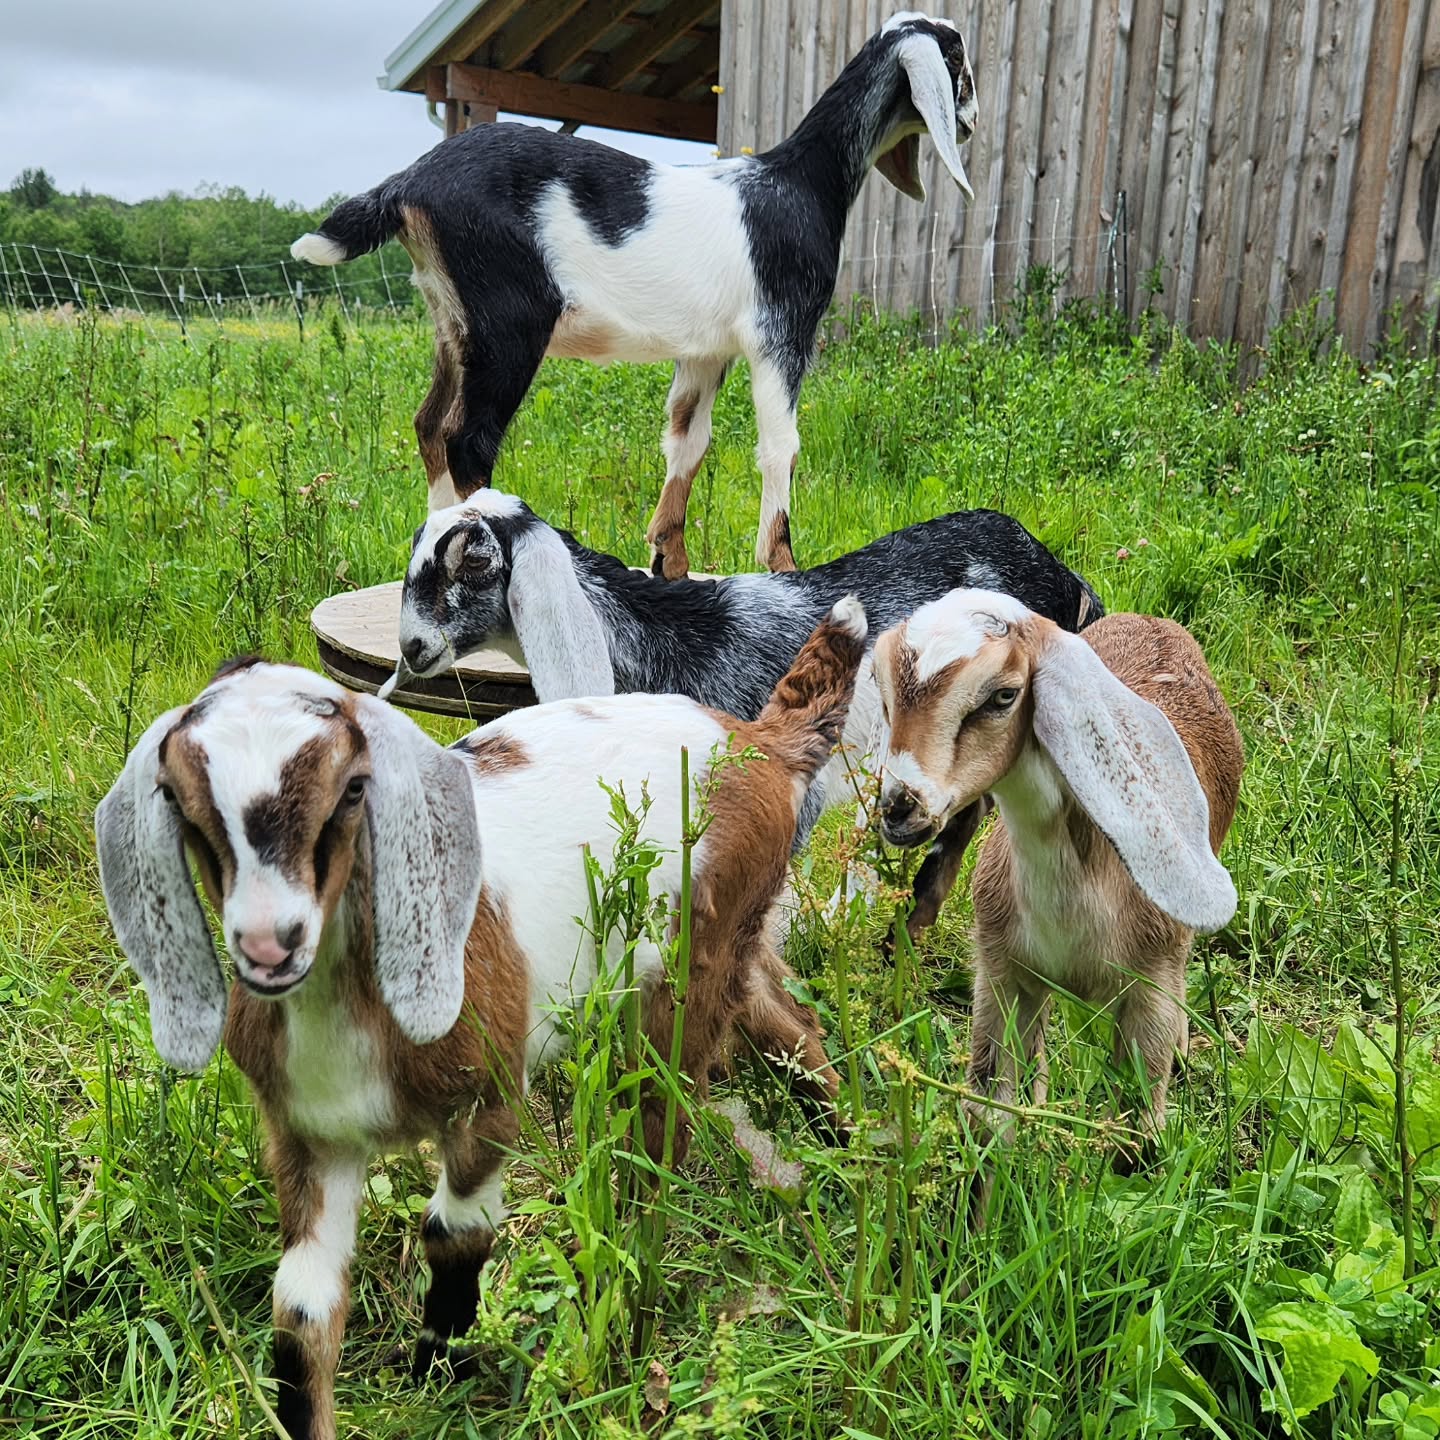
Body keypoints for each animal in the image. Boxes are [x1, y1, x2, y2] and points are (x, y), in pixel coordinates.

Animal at [95, 605, 865, 1440]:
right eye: (178, 801)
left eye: (352, 790)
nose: (272, 944)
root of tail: (758, 742)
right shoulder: (308, 1137)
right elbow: (299, 1314)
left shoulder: (489, 1098)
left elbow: (453, 1231)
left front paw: (441, 1364)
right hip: (734, 938)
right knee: (787, 1023)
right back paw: (846, 1150)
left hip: (690, 966)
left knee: (662, 1127)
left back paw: (633, 1273)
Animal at [290, 13, 976, 578]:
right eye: (957, 59)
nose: (969, 124)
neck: (800, 183)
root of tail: (408, 182)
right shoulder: (782, 332)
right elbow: (780, 445)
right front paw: (782, 564)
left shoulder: (705, 350)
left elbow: (687, 439)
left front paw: (669, 558)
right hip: (508, 322)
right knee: (468, 438)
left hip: (452, 321)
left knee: (431, 425)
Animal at [872, 592, 1243, 1165]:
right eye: (881, 685)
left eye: (1003, 695)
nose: (899, 807)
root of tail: (1152, 620)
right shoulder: (1002, 972)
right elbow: (992, 1114)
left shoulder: (1151, 989)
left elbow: (1137, 1139)